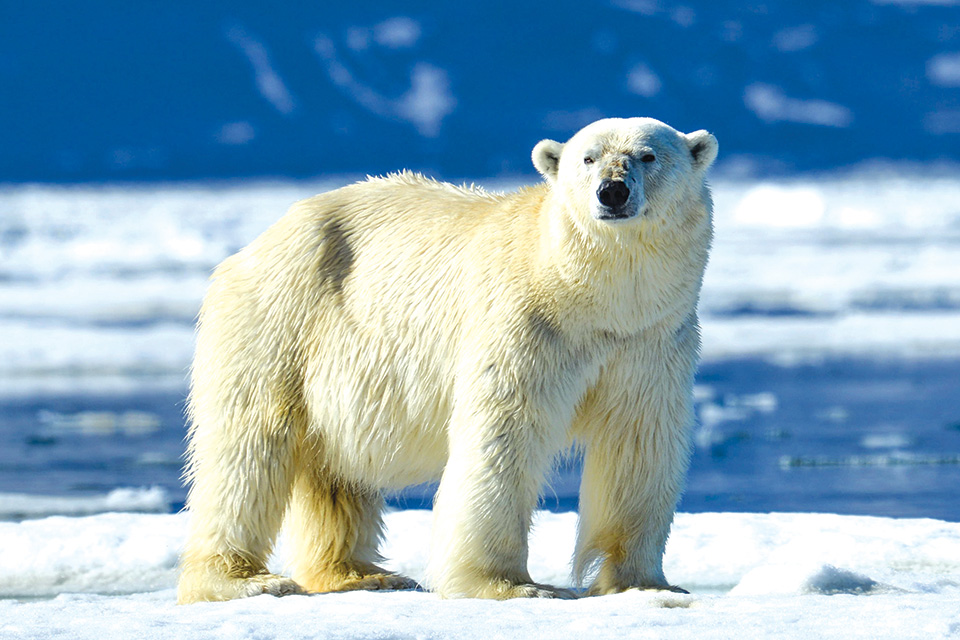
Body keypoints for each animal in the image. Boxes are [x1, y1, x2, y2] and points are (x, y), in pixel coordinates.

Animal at [177, 117, 718, 604]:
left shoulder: (651, 342)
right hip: (280, 320)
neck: (587, 297)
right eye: (588, 158)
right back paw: (245, 580)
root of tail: (262, 239)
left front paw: (644, 583)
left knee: (334, 474)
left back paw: (360, 574)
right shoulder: (525, 323)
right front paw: (511, 585)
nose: (612, 192)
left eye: (648, 155)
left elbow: (638, 443)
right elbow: (503, 436)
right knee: (248, 447)